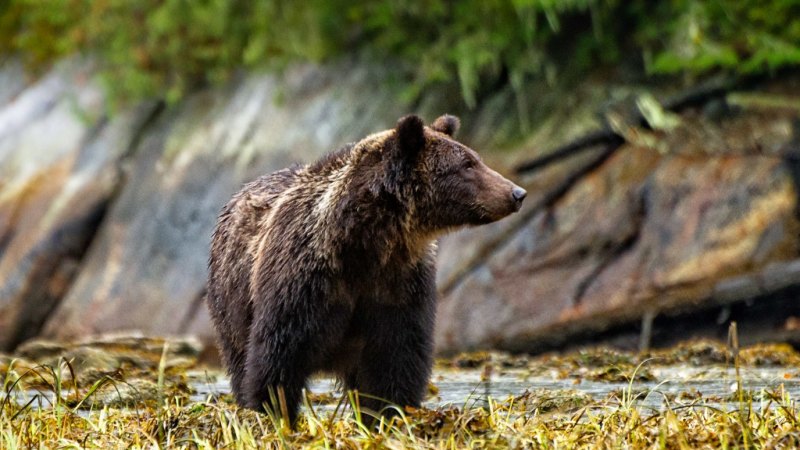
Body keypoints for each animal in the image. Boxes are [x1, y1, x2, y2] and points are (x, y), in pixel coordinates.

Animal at [206, 114, 526, 424]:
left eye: (476, 159)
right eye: (467, 165)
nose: (517, 193)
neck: (366, 244)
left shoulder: (398, 287)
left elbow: (395, 359)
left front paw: (389, 414)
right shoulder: (305, 280)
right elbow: (279, 355)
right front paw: (272, 412)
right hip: (230, 297)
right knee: (238, 354)